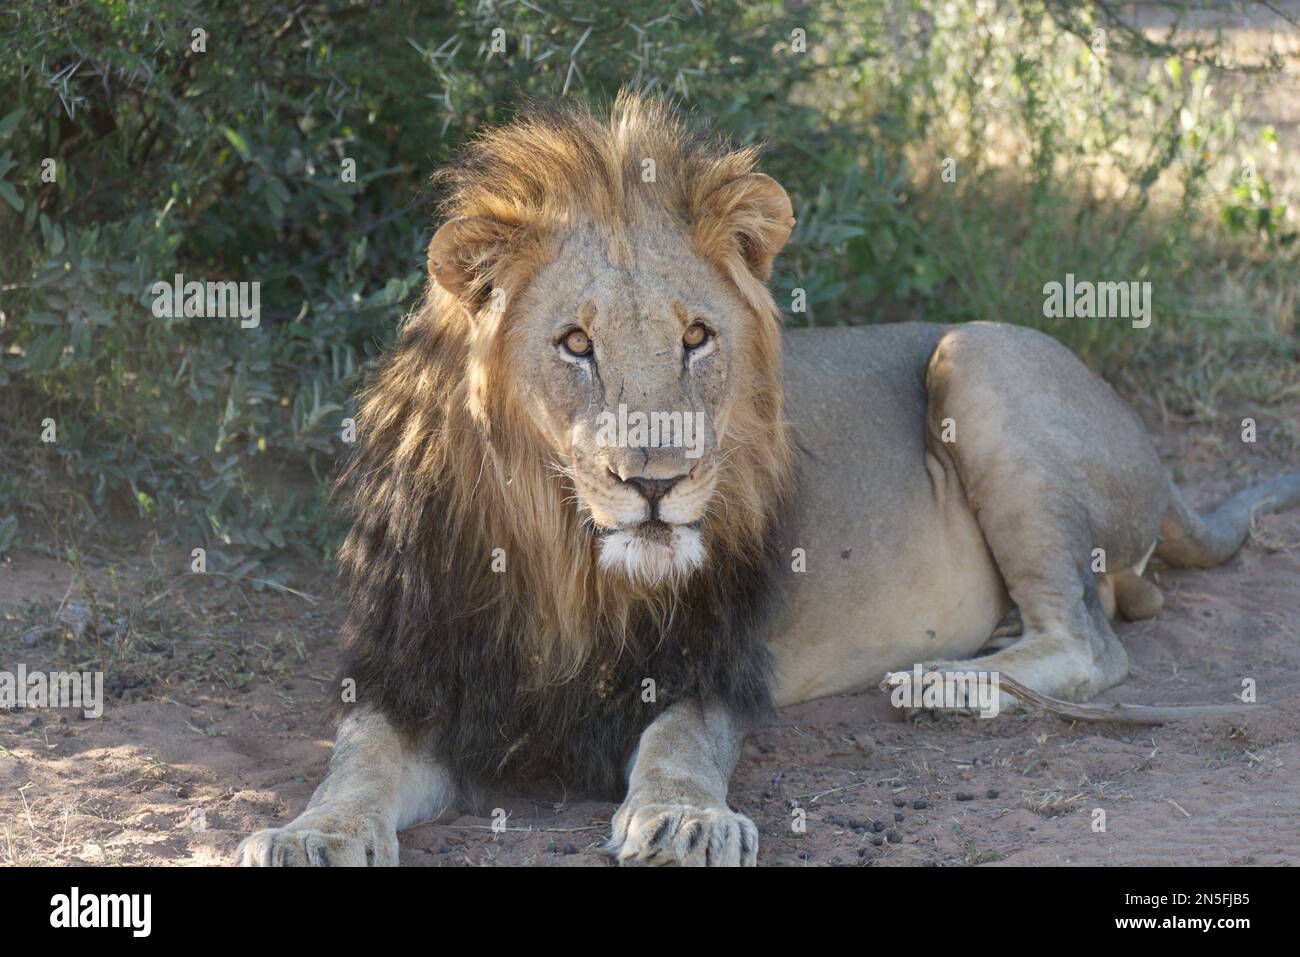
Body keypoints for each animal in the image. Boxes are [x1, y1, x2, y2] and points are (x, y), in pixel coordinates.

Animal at [237, 92, 1300, 867]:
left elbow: (677, 745)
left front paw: (683, 820)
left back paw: (941, 681)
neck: (559, 554)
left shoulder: (711, 662)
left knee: (1091, 642)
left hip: (977, 355)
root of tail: (1158, 463)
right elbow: (356, 764)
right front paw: (306, 835)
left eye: (696, 337)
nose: (656, 481)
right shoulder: (409, 670)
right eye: (575, 343)